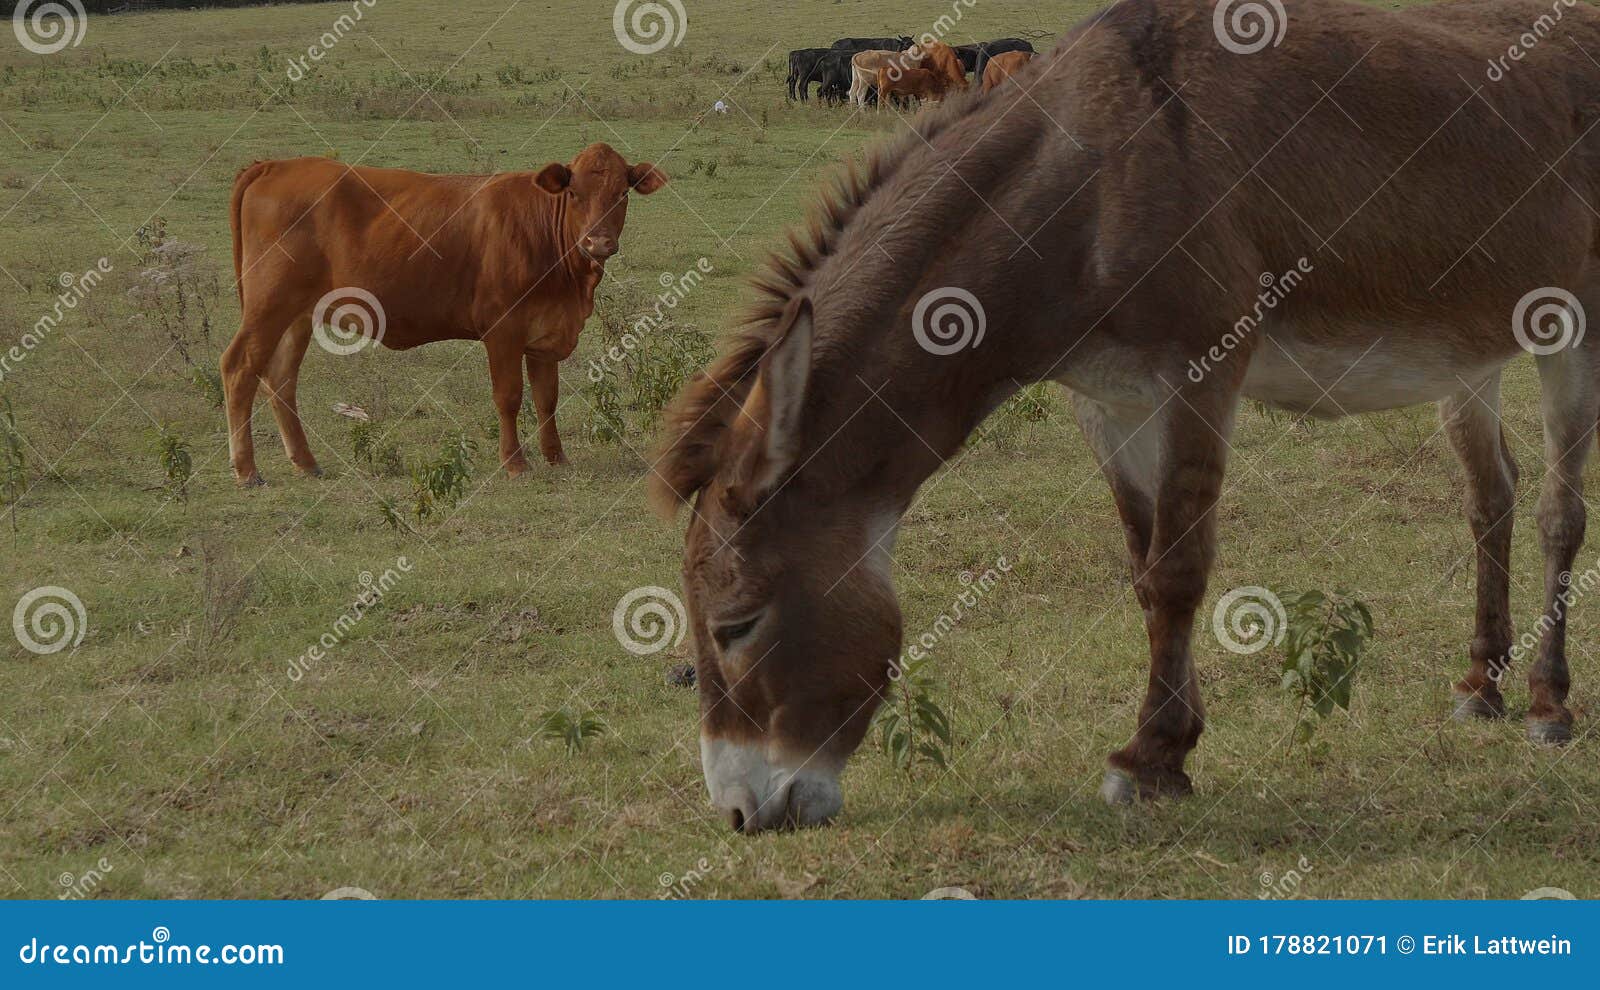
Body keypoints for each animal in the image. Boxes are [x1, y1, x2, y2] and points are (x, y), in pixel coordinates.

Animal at [221, 143, 667, 486]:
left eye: (621, 194)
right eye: (574, 194)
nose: (598, 242)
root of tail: (275, 165)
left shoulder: (544, 335)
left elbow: (547, 399)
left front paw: (556, 458)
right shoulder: (502, 330)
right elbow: (509, 397)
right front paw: (515, 463)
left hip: (297, 314)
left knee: (280, 378)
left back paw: (306, 462)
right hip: (268, 305)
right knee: (239, 369)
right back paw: (247, 470)